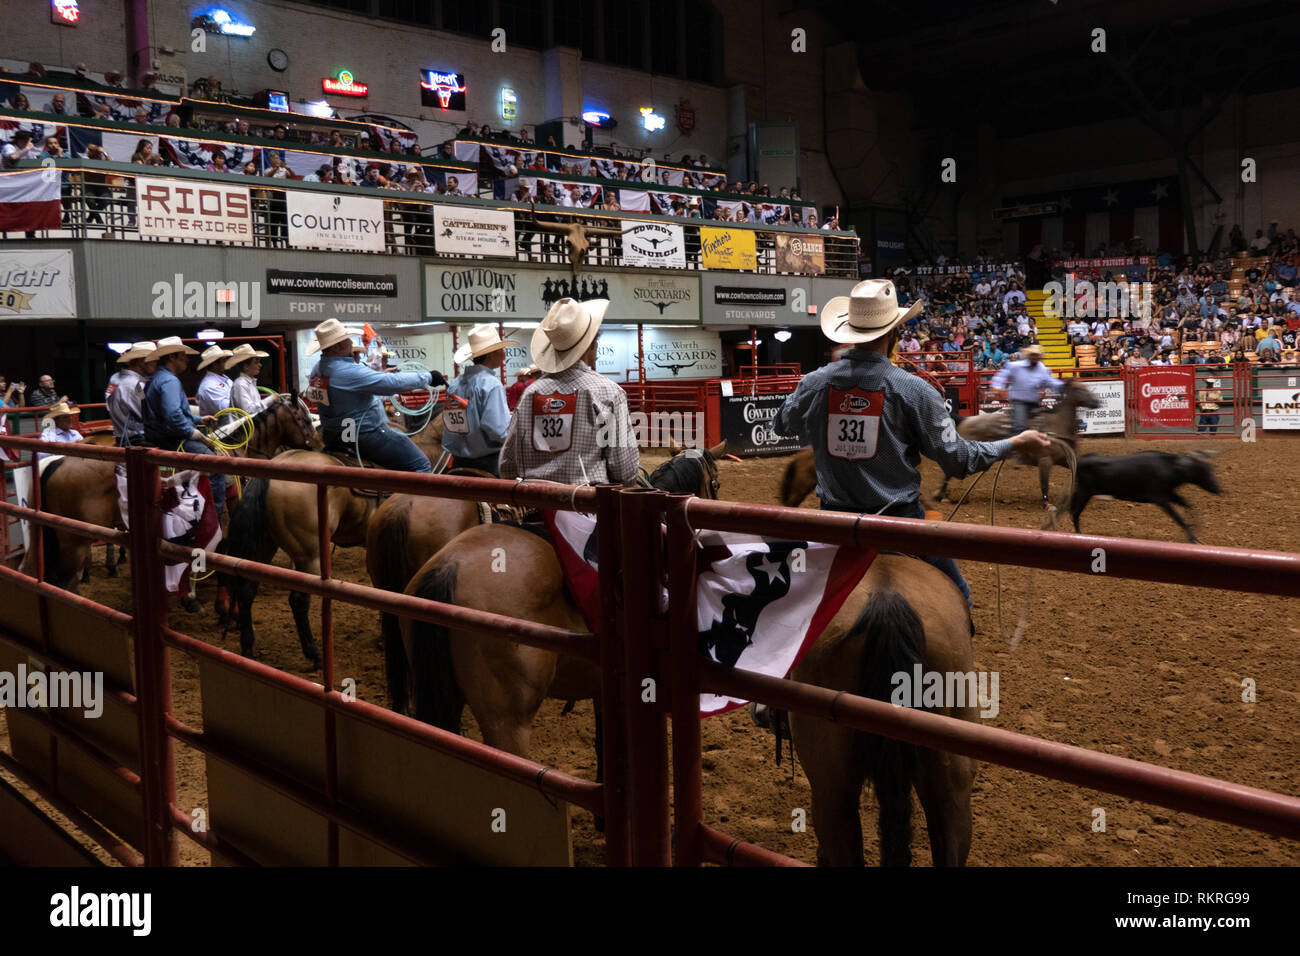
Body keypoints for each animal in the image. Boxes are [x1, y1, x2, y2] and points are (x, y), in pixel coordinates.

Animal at [21, 395, 318, 590]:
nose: (318, 445)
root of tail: (59, 461)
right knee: (67, 582)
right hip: (74, 542)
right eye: (305, 417)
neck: (239, 453)